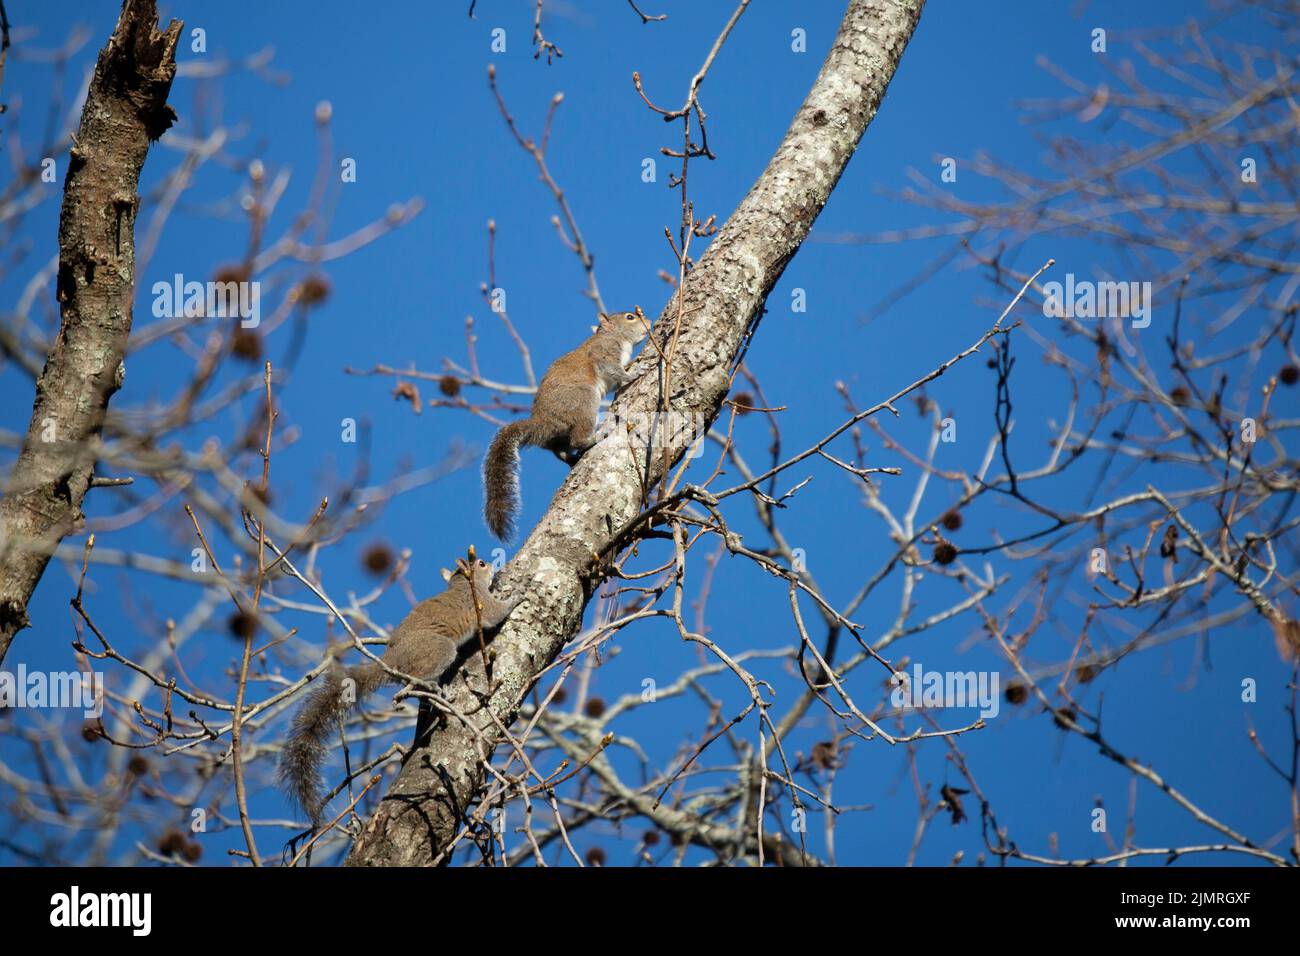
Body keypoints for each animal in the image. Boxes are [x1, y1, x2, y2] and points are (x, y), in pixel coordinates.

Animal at [278, 553, 519, 829]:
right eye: (480, 564)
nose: (494, 567)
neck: (464, 585)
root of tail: (391, 660)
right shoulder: (481, 605)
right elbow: (497, 613)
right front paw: (518, 594)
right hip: (439, 649)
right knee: (409, 685)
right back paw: (429, 689)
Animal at [484, 311, 648, 541]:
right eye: (630, 317)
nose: (647, 322)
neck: (612, 336)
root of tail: (543, 423)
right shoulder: (604, 353)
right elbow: (614, 370)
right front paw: (635, 371)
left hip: (558, 437)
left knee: (559, 450)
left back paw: (571, 458)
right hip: (584, 400)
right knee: (578, 440)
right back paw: (597, 435)